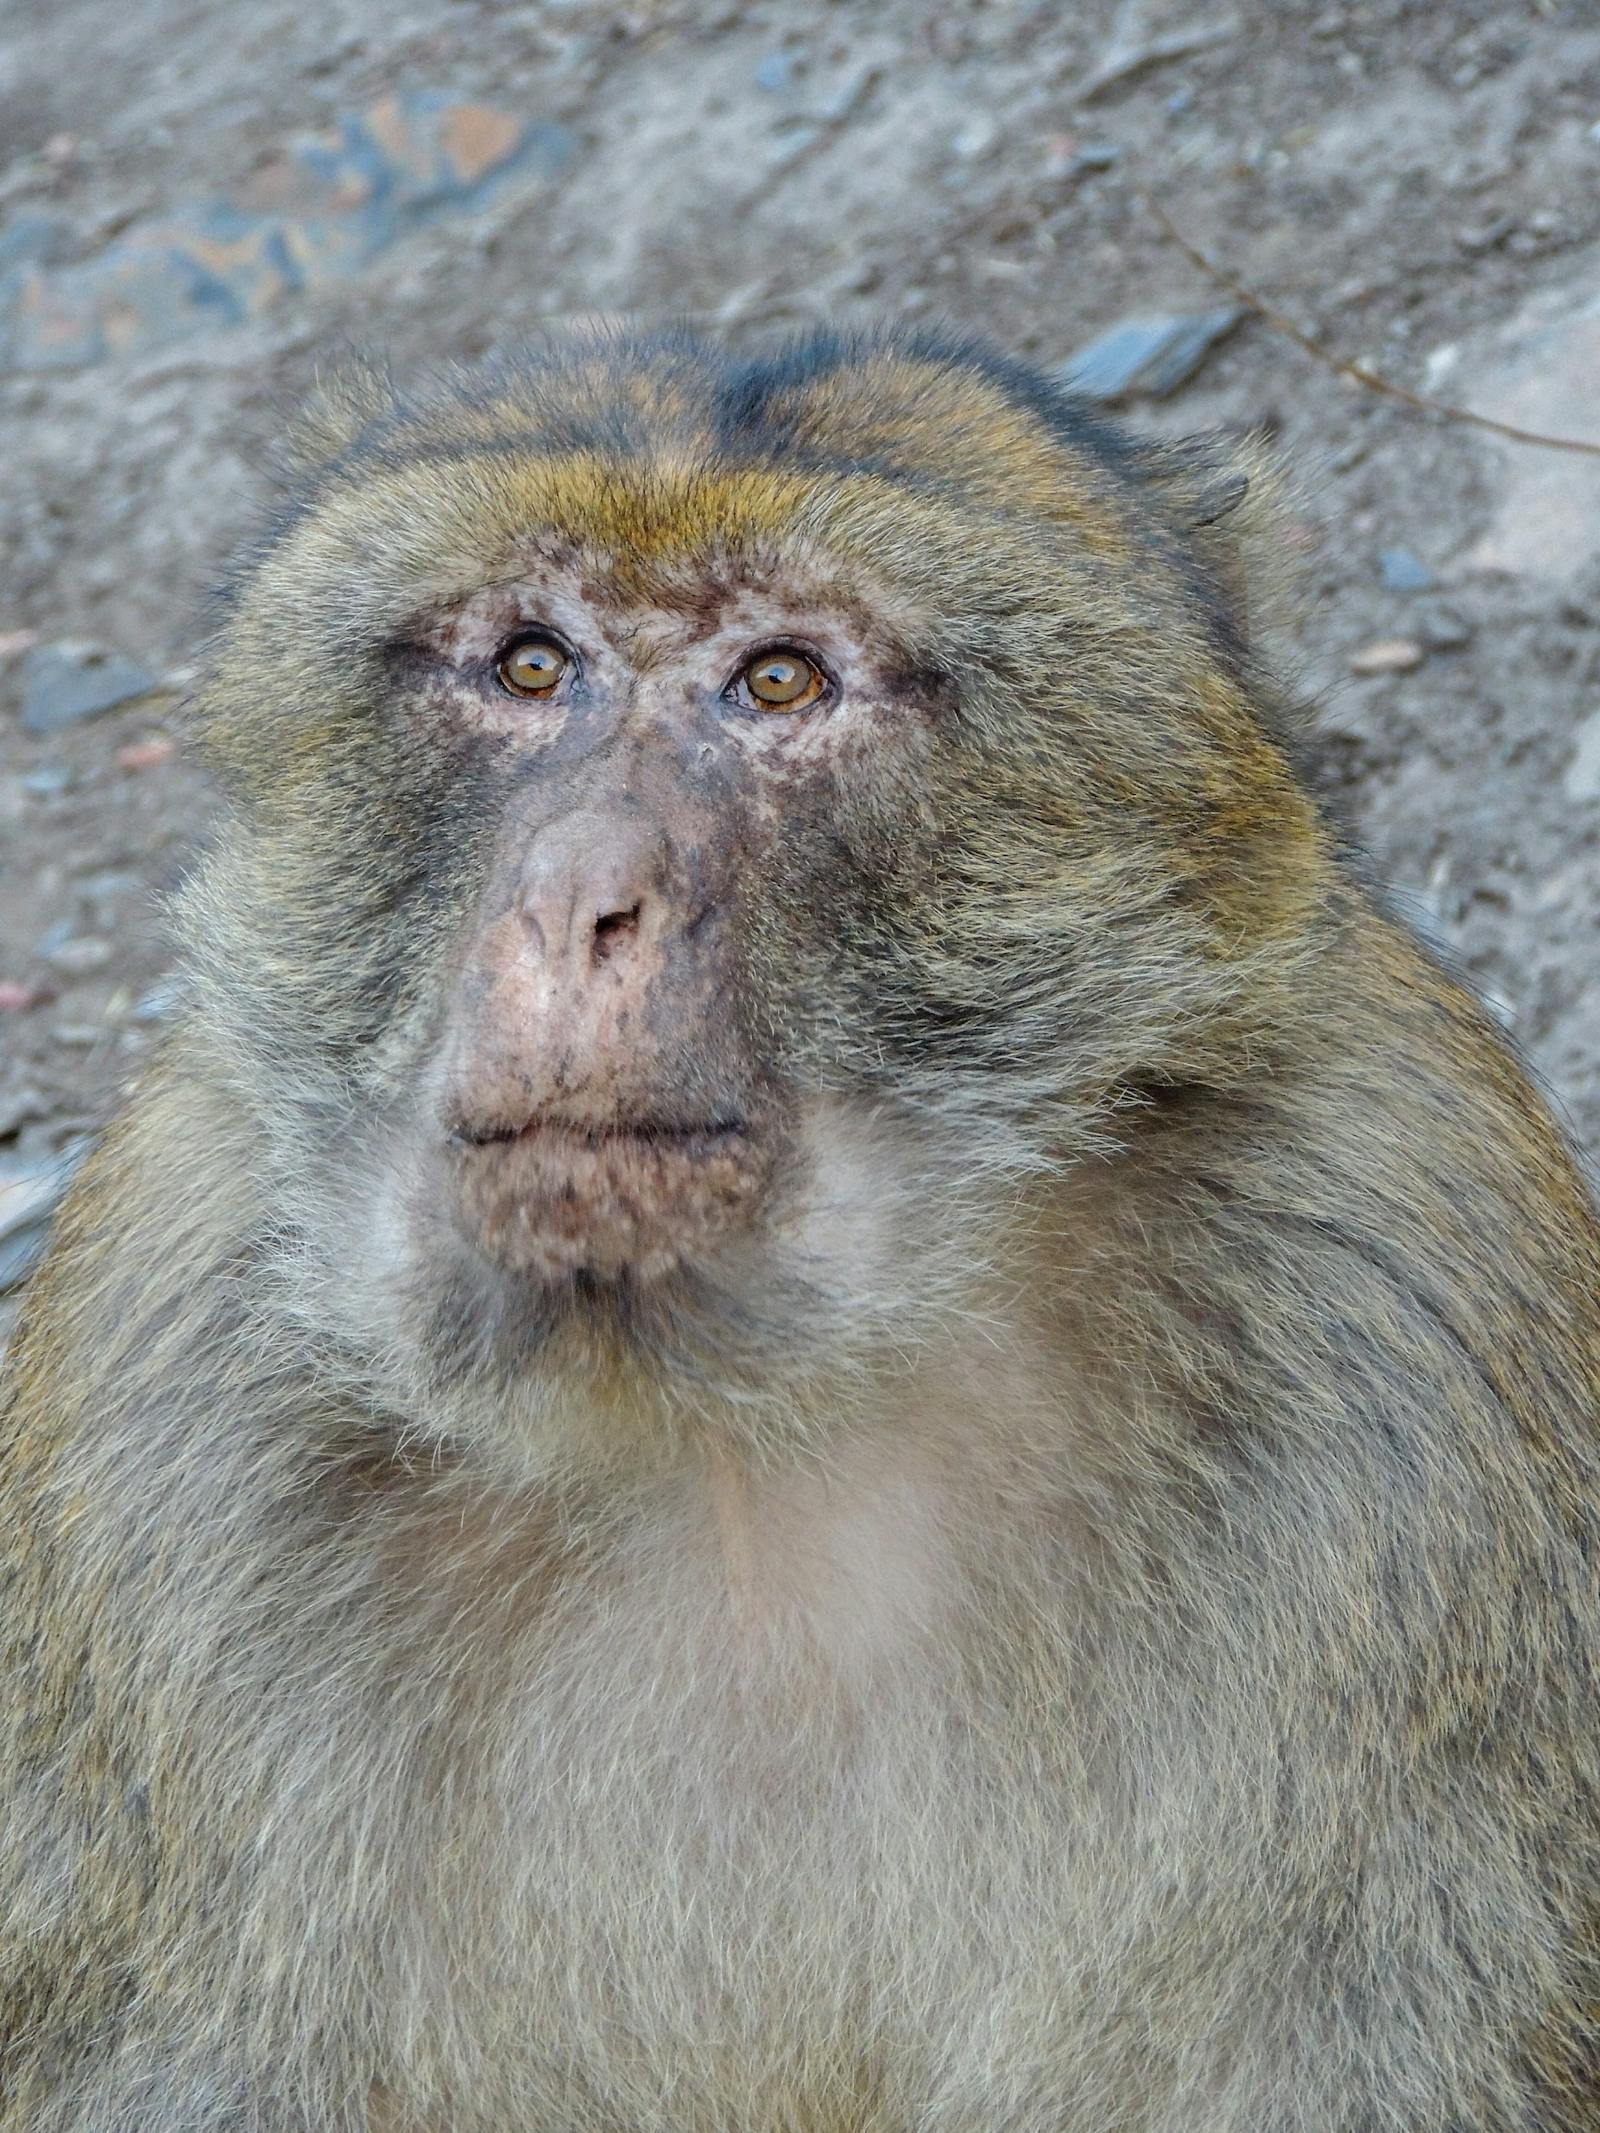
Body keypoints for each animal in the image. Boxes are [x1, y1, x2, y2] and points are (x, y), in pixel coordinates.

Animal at [3, 323, 1600, 2133]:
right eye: (533, 665)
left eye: (778, 682)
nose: (576, 896)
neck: (736, 1431)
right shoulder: (153, 1442)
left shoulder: (1406, 1353)